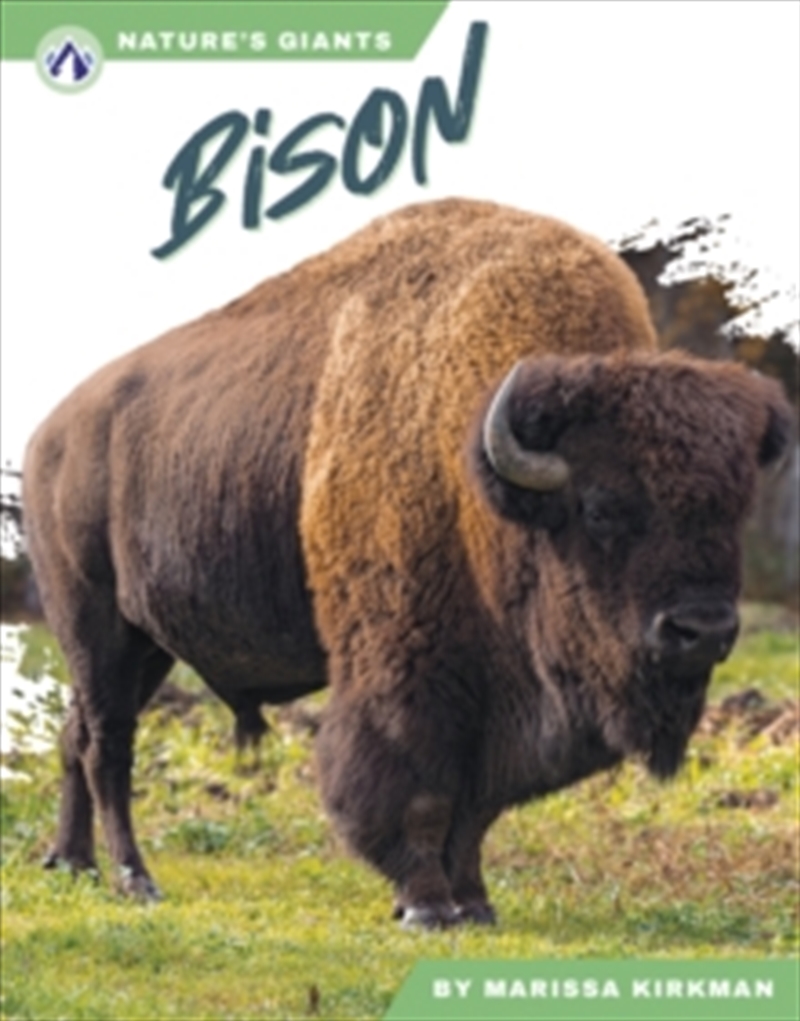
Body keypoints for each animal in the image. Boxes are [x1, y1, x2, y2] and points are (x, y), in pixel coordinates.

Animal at [23, 199, 791, 927]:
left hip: (147, 643)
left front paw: (473, 902)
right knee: (108, 745)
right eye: (600, 508)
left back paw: (71, 862)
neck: (475, 473)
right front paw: (425, 906)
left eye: (732, 510)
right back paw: (135, 878)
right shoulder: (407, 673)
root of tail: (48, 435)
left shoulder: (495, 702)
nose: (702, 630)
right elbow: (419, 790)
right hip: (95, 624)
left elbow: (476, 807)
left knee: (75, 733)